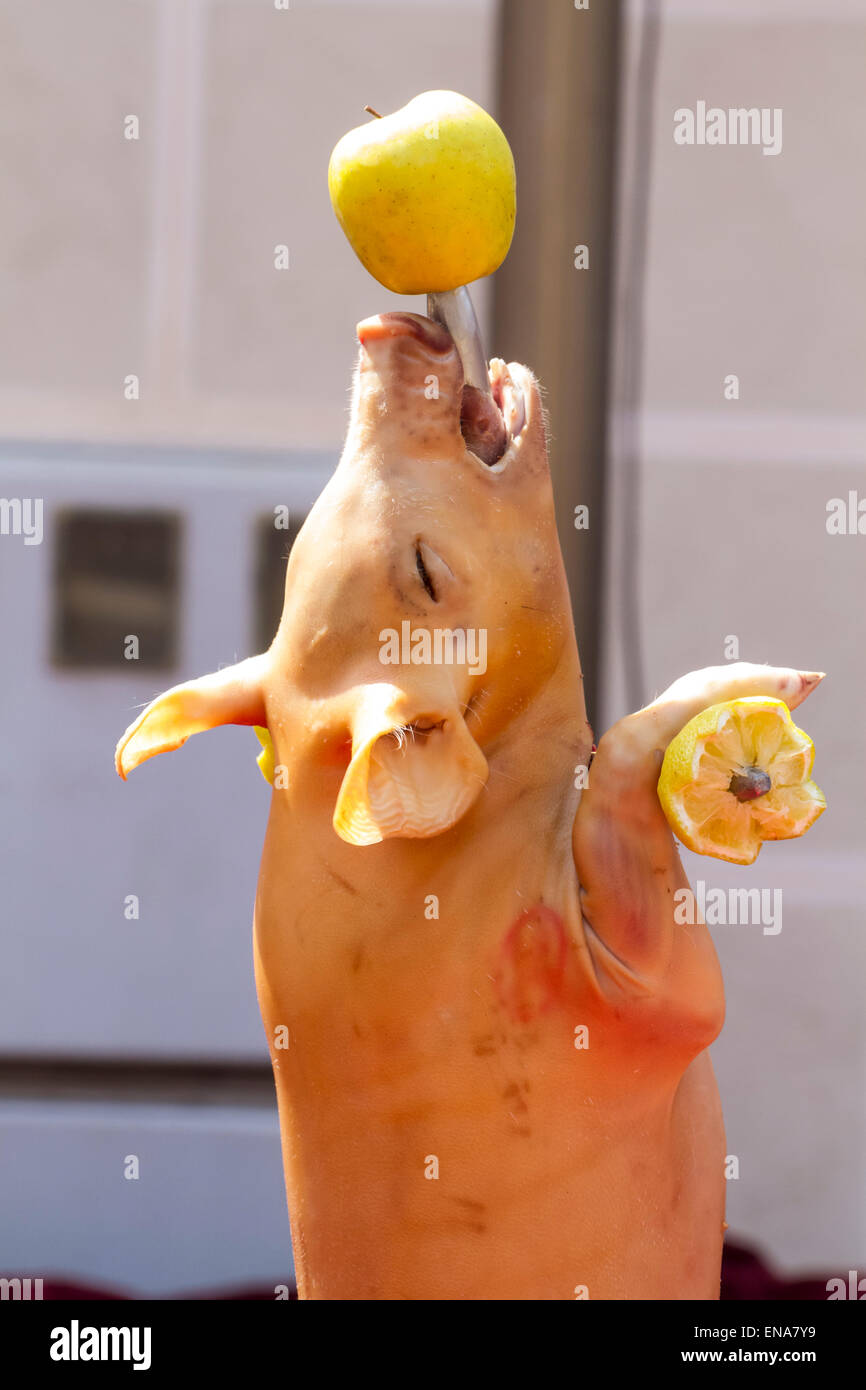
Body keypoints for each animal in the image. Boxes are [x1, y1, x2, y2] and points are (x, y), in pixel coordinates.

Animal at [115, 311, 822, 1300]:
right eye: (424, 572)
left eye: (292, 559)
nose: (389, 328)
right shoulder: (648, 993)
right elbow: (621, 769)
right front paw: (737, 691)